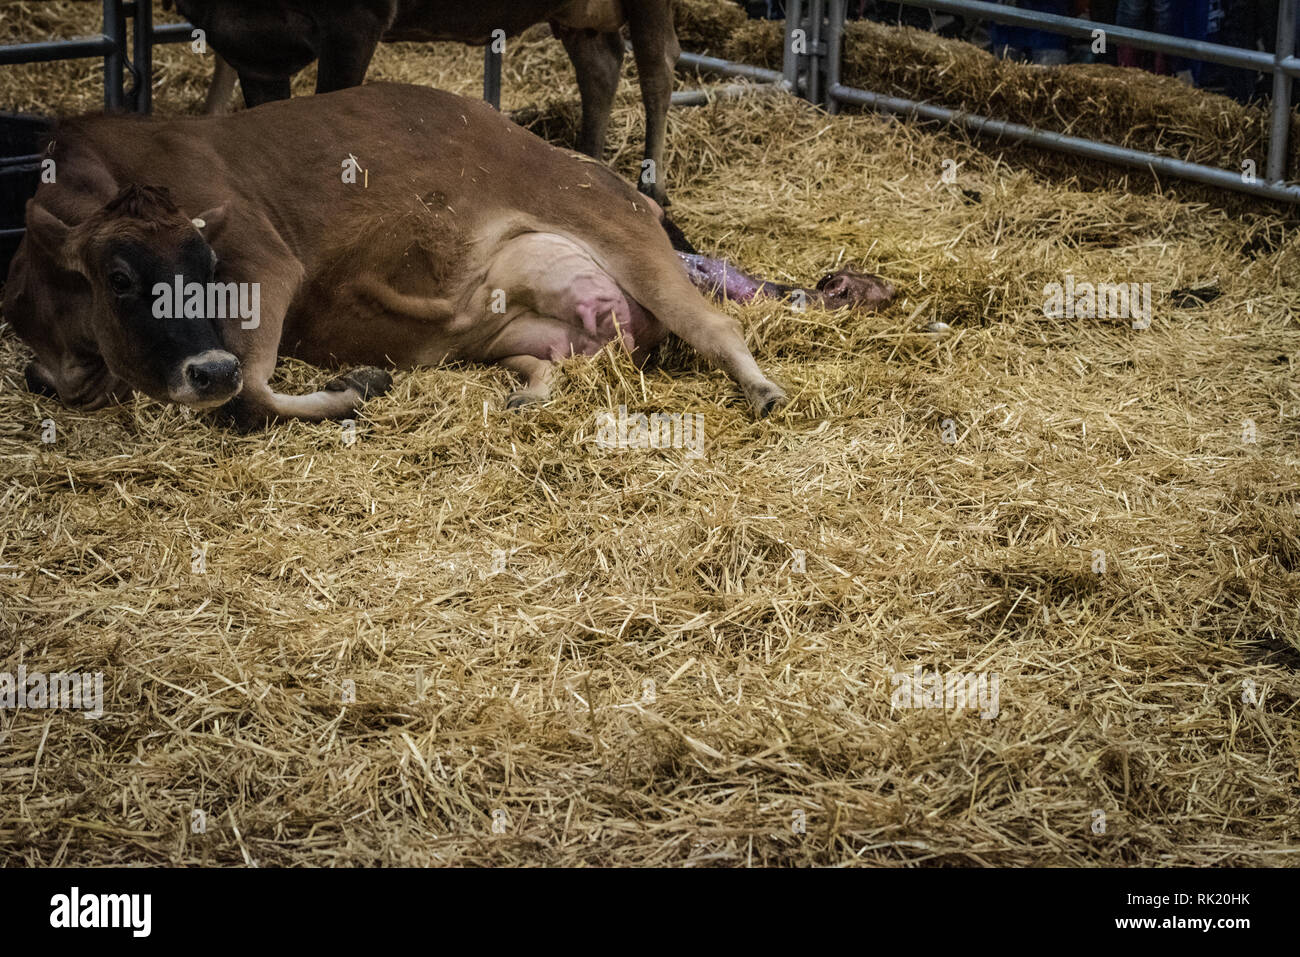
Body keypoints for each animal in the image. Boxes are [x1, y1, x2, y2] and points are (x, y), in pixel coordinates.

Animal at [4, 83, 891, 431]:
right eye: (120, 279)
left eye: (205, 263)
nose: (206, 367)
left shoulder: (265, 259)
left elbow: (253, 393)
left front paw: (354, 386)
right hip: (520, 328)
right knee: (541, 359)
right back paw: (526, 394)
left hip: (619, 233)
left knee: (716, 326)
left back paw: (764, 388)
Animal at [169, 0, 680, 203]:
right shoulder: (252, 50)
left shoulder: (353, 24)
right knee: (601, 64)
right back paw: (588, 159)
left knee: (658, 68)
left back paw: (651, 185)